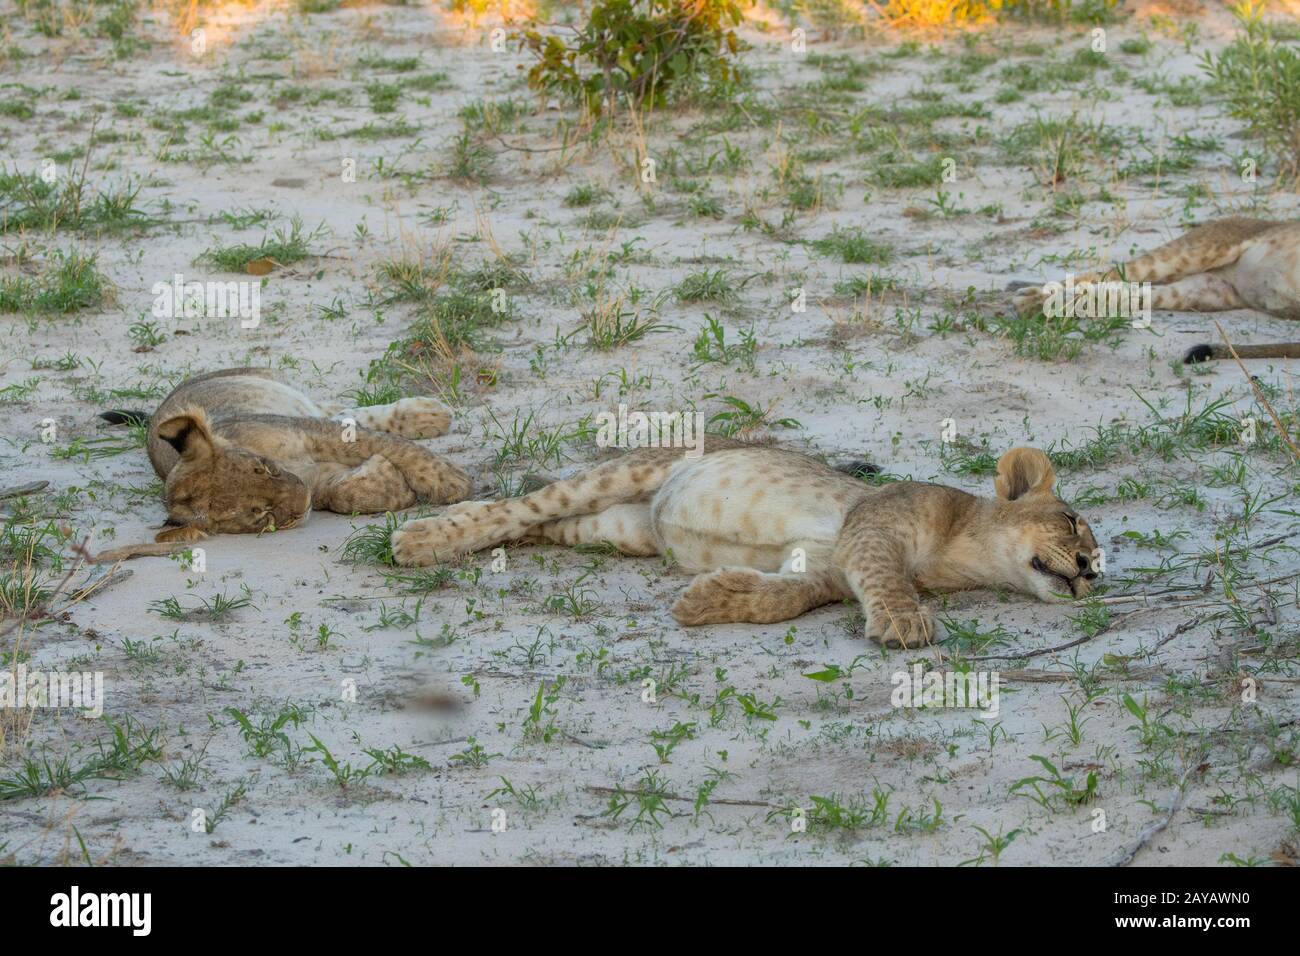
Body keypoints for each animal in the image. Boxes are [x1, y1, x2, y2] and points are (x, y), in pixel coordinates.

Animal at [98, 367, 469, 554]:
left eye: (263, 468)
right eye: (260, 515)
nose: (301, 501)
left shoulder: (310, 431)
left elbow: (391, 446)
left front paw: (450, 482)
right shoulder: (319, 482)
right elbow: (345, 493)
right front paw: (389, 482)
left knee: (339, 410)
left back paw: (427, 414)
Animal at [388, 440, 1099, 648]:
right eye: (1071, 522)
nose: (1093, 573)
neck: (961, 552)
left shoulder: (825, 565)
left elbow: (784, 599)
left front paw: (709, 599)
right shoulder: (871, 526)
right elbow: (889, 581)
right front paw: (905, 622)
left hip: (616, 528)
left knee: (539, 524)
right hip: (627, 472)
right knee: (521, 506)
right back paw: (421, 539)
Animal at [1011, 217, 1300, 361]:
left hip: (1203, 292)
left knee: (1119, 294)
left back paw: (1035, 305)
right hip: (1193, 252)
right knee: (1104, 274)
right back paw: (1027, 297)